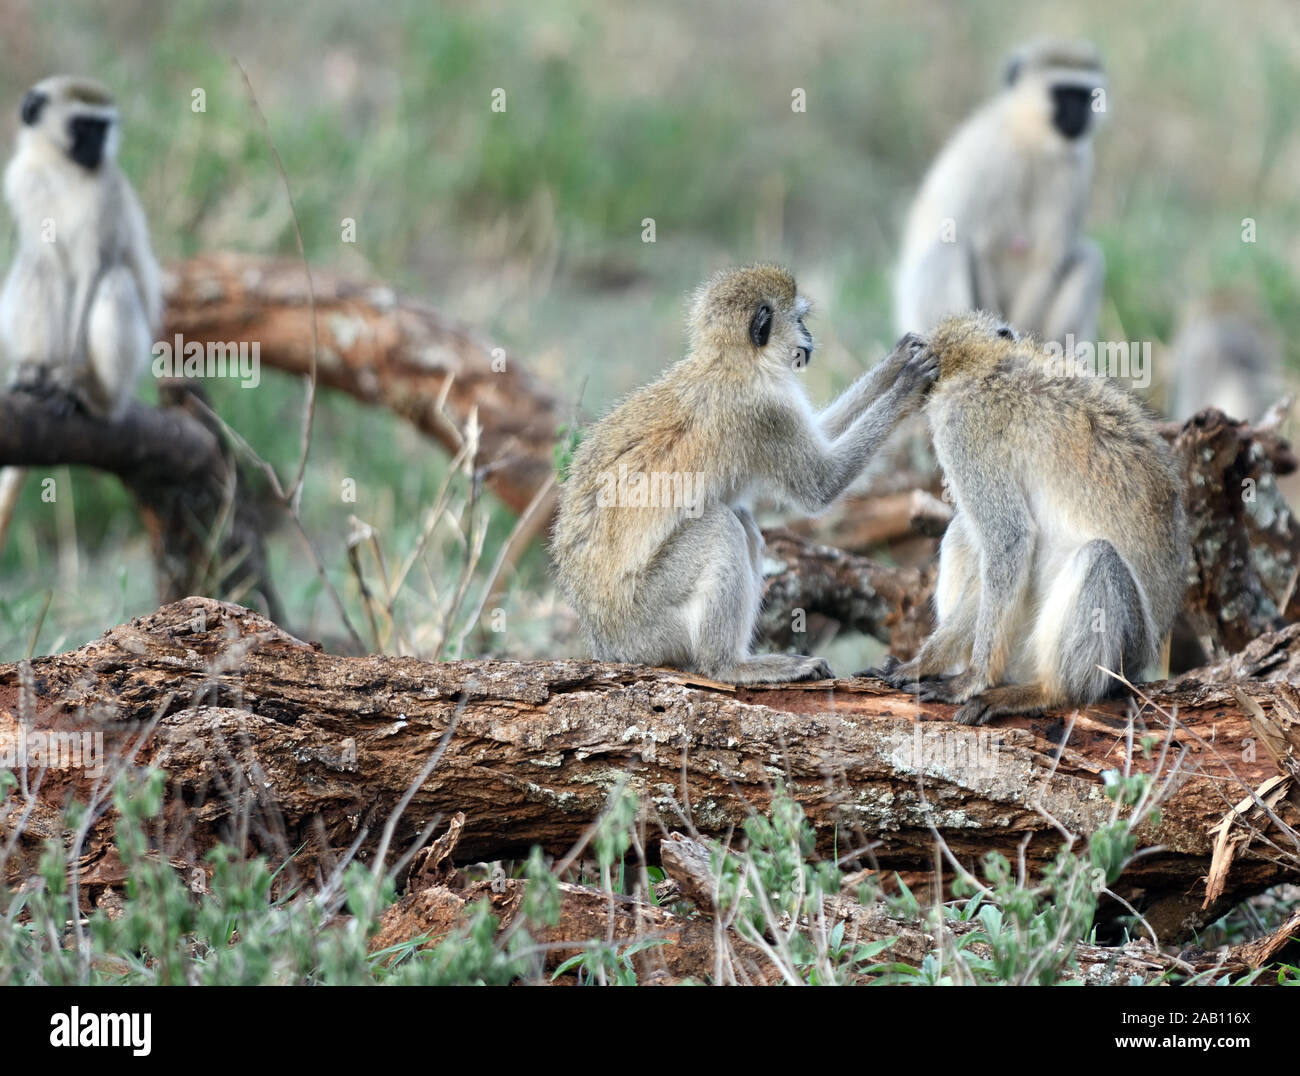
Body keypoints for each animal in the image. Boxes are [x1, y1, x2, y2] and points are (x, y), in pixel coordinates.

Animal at [0, 75, 162, 550]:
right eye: (82, 127)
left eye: (102, 128)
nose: (95, 150)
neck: (61, 170)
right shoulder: (22, 180)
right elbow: (49, 263)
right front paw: (39, 373)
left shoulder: (103, 194)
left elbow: (95, 269)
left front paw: (67, 384)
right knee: (37, 262)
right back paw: (36, 371)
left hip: (118, 382)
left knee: (114, 282)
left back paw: (87, 394)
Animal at [550, 265, 938, 684]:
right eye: (799, 319)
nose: (809, 339)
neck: (732, 362)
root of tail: (605, 645)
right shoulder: (766, 414)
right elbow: (821, 484)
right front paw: (908, 384)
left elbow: (822, 434)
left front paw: (895, 362)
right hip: (648, 622)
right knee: (721, 527)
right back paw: (729, 666)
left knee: (743, 522)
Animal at [873, 311, 1188, 725]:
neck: (981, 364)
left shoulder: (961, 428)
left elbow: (1009, 539)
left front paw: (955, 674)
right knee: (961, 531)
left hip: (1126, 650)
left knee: (1099, 559)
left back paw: (1044, 692)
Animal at [894, 38, 1107, 348]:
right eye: (1063, 93)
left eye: (1085, 95)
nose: (1078, 115)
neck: (1032, 141)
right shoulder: (990, 158)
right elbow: (979, 245)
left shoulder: (1077, 170)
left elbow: (1046, 260)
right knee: (946, 251)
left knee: (1089, 259)